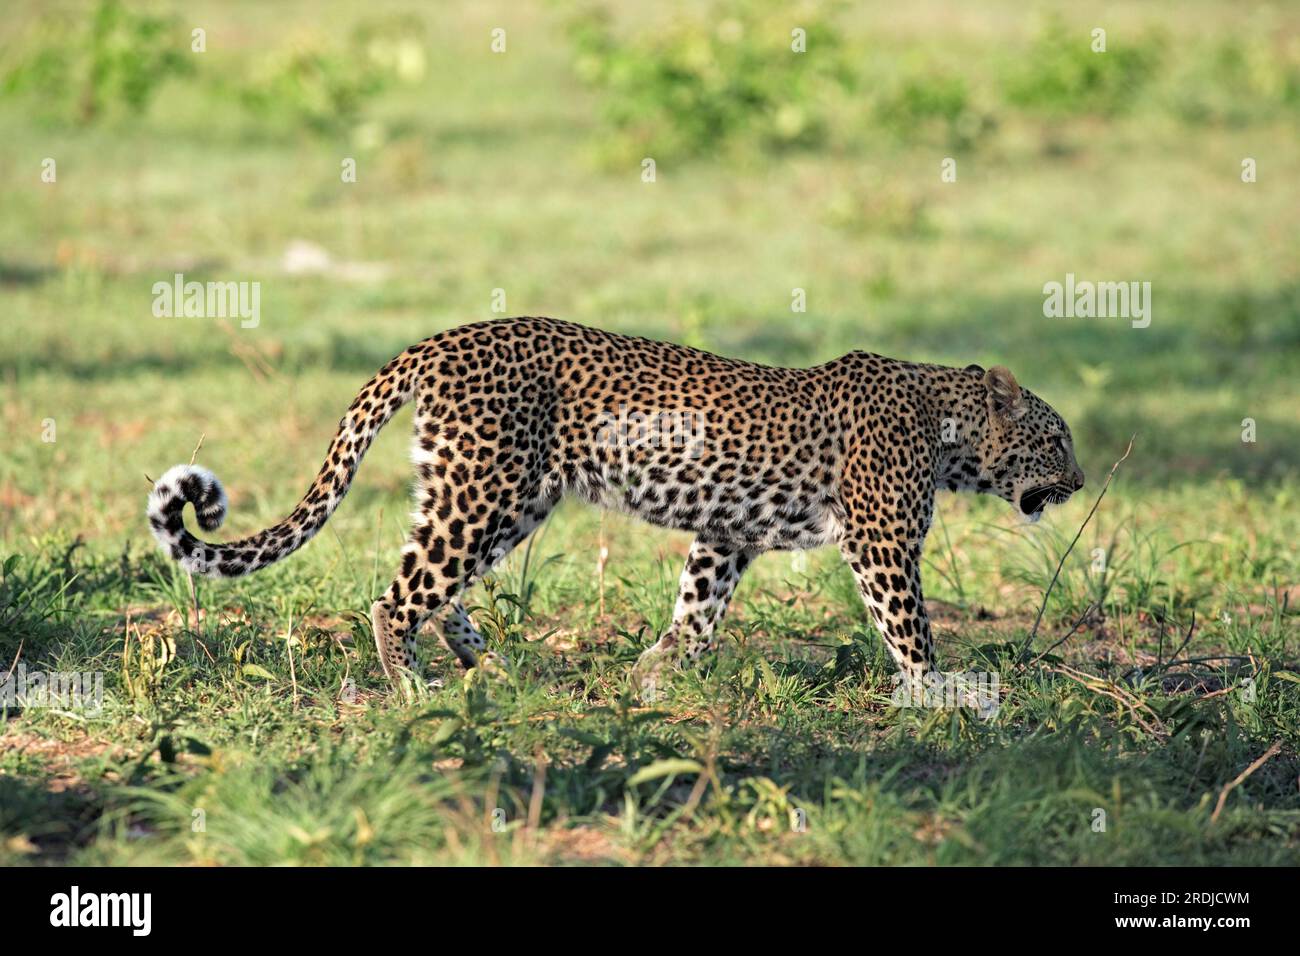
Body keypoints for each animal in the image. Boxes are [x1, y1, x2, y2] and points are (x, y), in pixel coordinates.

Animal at [147, 316, 1084, 696]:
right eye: (1057, 440)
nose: (1077, 484)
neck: (947, 424)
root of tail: (442, 339)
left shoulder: (725, 536)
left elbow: (697, 615)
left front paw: (651, 675)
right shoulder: (882, 542)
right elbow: (910, 627)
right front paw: (941, 695)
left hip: (506, 497)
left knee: (437, 586)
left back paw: (486, 663)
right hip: (485, 490)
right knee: (397, 594)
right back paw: (412, 685)